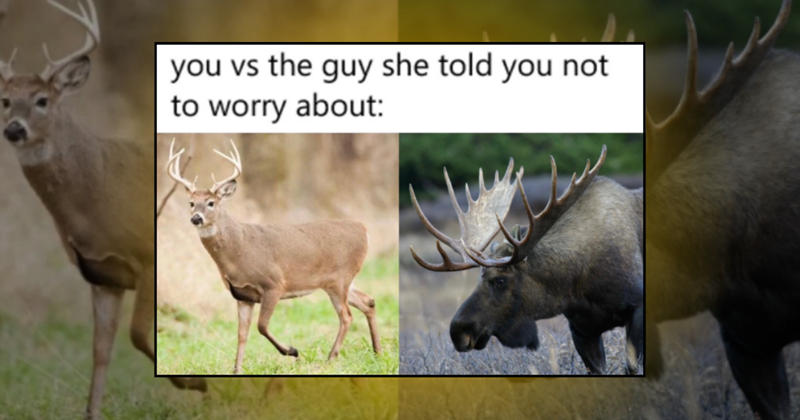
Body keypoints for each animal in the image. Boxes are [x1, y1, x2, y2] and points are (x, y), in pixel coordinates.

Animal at [0, 1, 206, 418]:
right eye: (5, 100)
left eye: (43, 100)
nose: (14, 129)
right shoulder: (102, 275)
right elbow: (100, 351)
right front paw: (92, 412)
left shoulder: (147, 258)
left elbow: (138, 335)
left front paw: (194, 384)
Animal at [165, 138, 381, 372]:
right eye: (191, 203)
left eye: (211, 203)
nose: (196, 218)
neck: (239, 250)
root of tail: (364, 230)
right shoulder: (242, 295)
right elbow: (242, 334)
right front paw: (237, 369)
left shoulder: (273, 284)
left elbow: (261, 326)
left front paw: (293, 351)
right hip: (341, 281)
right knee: (368, 301)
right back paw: (377, 351)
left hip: (339, 279)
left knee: (346, 316)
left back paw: (331, 358)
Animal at [408, 146, 644, 375]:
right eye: (478, 278)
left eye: (500, 280)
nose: (458, 331)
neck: (575, 286)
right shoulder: (581, 328)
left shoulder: (637, 308)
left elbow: (632, 367)